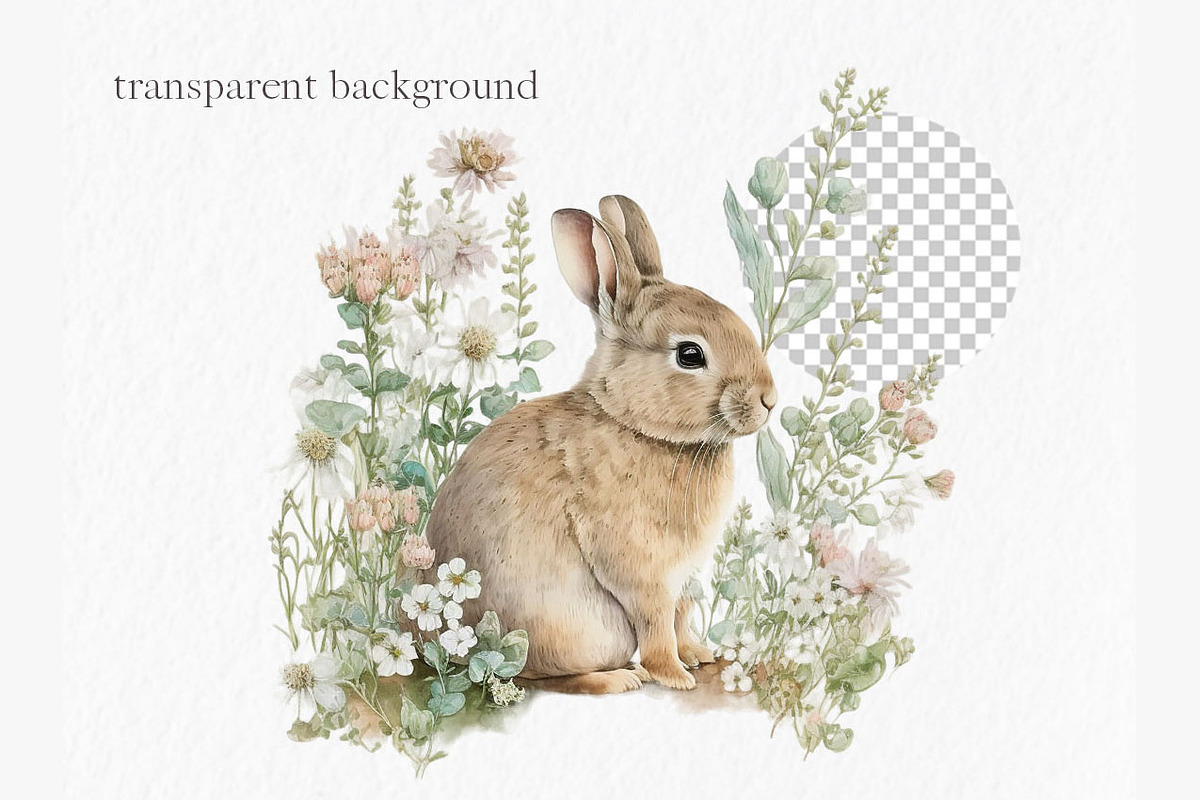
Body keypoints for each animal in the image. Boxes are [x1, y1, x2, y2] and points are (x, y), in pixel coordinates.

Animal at [424, 195, 776, 694]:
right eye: (690, 355)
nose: (769, 399)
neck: (636, 425)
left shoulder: (682, 576)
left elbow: (681, 615)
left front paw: (699, 656)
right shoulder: (640, 567)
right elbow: (656, 620)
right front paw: (675, 677)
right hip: (574, 628)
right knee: (542, 673)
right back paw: (619, 680)